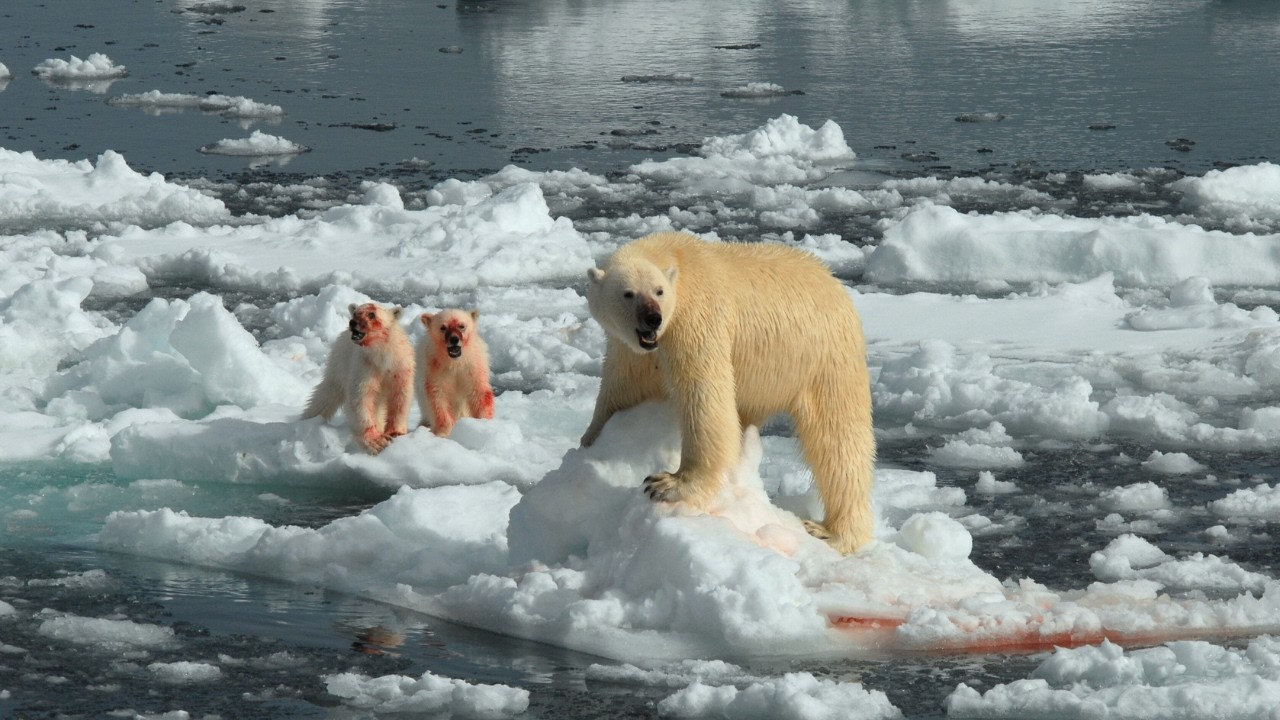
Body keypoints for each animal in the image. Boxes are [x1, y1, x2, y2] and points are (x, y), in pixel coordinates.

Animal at [301, 302, 415, 454]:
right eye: (355, 313)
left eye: (372, 314)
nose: (353, 322)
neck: (382, 356)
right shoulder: (365, 366)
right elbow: (361, 397)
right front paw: (376, 443)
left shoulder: (399, 366)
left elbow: (401, 396)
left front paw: (395, 433)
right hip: (339, 363)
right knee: (326, 395)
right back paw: (308, 420)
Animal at [417, 308, 495, 437]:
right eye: (443, 327)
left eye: (461, 326)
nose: (454, 339)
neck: (455, 362)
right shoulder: (435, 368)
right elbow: (439, 396)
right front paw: (443, 432)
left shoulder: (473, 367)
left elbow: (479, 393)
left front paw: (483, 423)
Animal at [582, 231, 876, 554]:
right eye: (628, 293)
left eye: (658, 291)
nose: (652, 318)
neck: (674, 257)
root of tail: (834, 283)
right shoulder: (632, 350)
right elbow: (621, 387)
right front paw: (589, 438)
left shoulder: (695, 320)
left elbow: (704, 395)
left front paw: (668, 485)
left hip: (824, 356)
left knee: (838, 439)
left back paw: (832, 532)